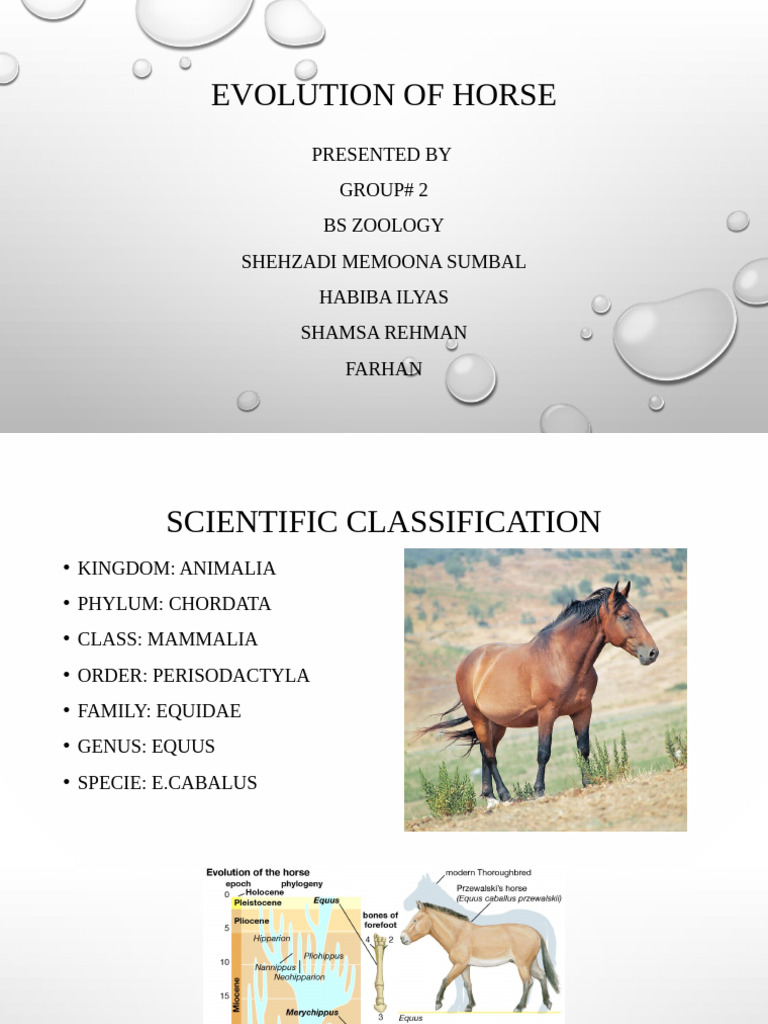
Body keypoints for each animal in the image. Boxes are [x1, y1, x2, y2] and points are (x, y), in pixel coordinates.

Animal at [400, 901, 559, 1013]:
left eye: (415, 920)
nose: (402, 938)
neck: (458, 934)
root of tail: (536, 932)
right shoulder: (464, 966)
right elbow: (468, 984)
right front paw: (470, 1006)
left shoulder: (459, 965)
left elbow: (446, 980)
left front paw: (438, 1003)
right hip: (530, 963)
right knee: (542, 976)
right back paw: (548, 1003)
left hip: (522, 964)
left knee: (528, 981)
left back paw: (519, 1007)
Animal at [421, 582, 659, 803]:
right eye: (625, 616)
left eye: (637, 614)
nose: (652, 653)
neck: (561, 658)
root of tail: (468, 662)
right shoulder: (547, 713)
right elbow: (543, 753)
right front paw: (539, 791)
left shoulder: (583, 711)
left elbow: (583, 748)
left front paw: (588, 782)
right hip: (478, 717)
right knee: (489, 755)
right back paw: (504, 796)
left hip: (496, 723)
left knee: (485, 751)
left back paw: (490, 798)